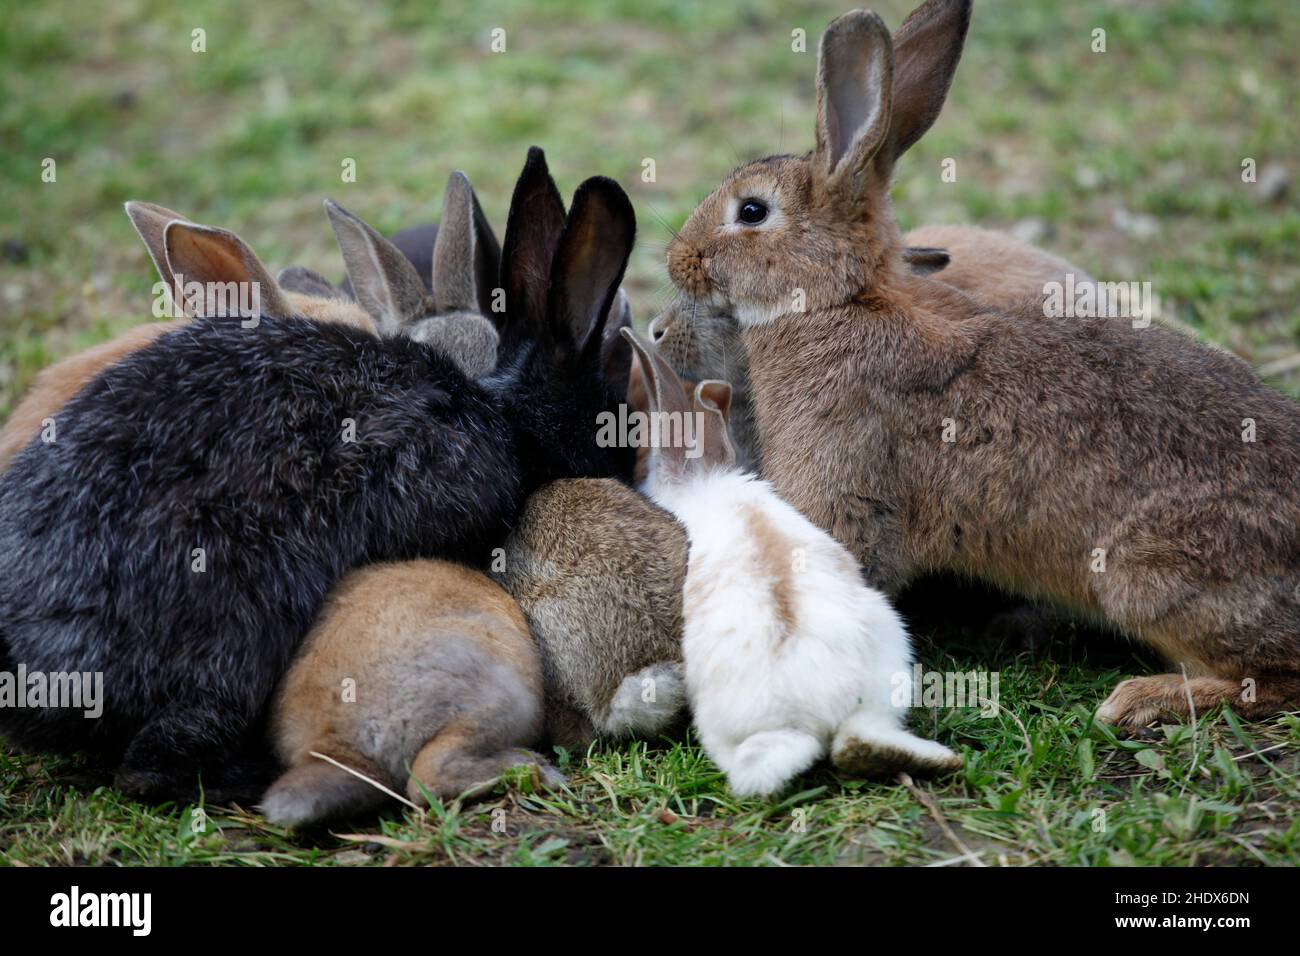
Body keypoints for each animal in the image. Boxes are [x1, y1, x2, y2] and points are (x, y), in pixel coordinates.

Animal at [662, 2, 1300, 728]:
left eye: (751, 211)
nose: (676, 259)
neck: (839, 299)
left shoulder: (843, 490)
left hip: (1146, 576)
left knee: (1271, 676)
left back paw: (1141, 698)